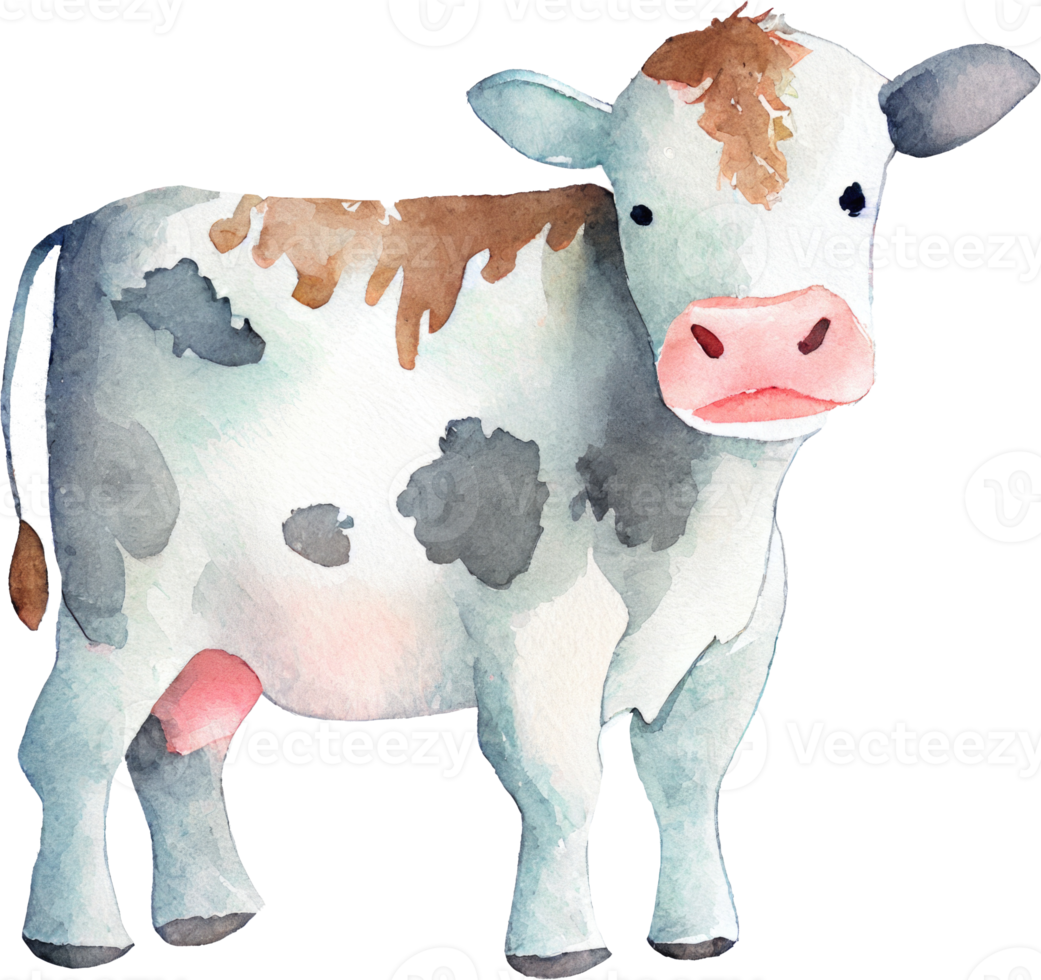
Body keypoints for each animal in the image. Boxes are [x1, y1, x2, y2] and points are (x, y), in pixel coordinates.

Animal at [3, 9, 1038, 977]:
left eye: (856, 194)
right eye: (641, 209)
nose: (758, 338)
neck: (698, 516)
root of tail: (88, 223)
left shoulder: (741, 625)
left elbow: (686, 777)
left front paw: (697, 935)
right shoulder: (535, 611)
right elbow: (559, 780)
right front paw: (557, 947)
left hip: (216, 619)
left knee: (174, 745)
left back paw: (210, 915)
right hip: (121, 591)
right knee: (67, 749)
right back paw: (76, 935)